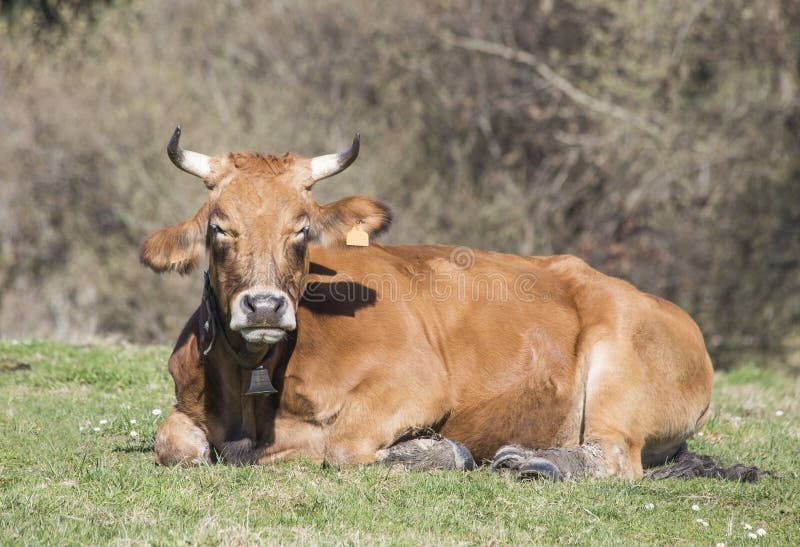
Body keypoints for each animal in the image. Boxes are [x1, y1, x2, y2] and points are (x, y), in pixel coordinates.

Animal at [141, 127, 759, 481]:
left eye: (302, 230)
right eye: (219, 228)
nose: (266, 307)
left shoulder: (414, 381)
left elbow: (340, 445)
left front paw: (435, 451)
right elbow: (173, 442)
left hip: (620, 366)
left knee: (612, 458)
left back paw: (532, 459)